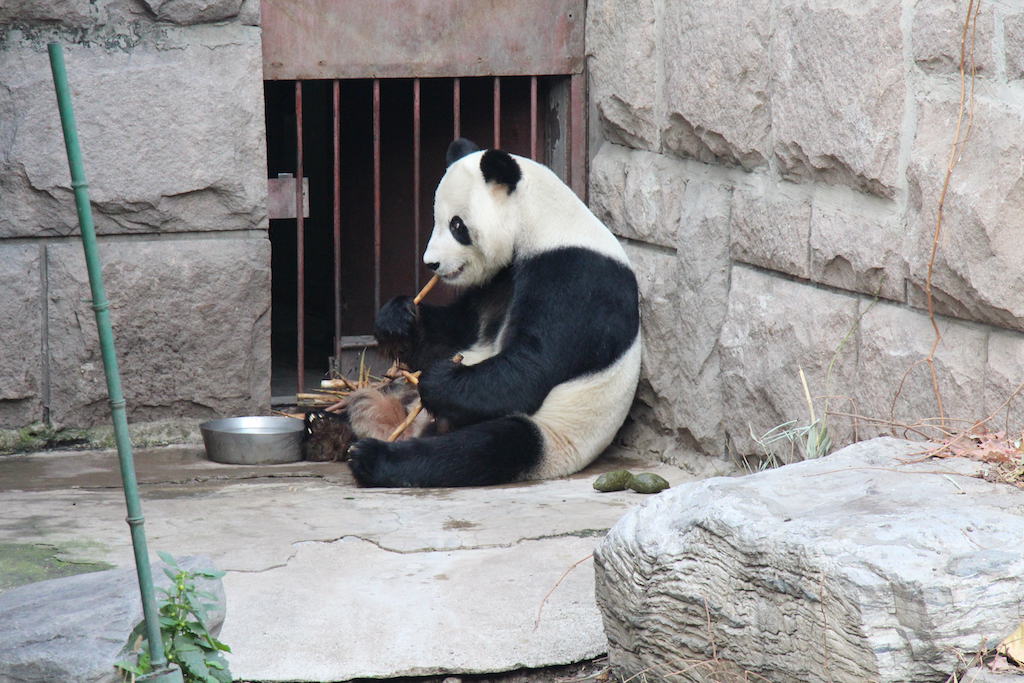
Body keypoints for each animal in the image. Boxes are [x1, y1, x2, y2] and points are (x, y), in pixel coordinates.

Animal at [346, 138, 641, 488]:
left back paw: (373, 457)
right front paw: (398, 321)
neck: (543, 223)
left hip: (556, 433)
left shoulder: (576, 278)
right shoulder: (495, 282)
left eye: (457, 225)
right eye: (435, 219)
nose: (432, 263)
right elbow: (456, 331)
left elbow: (531, 367)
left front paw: (440, 380)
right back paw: (371, 412)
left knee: (488, 446)